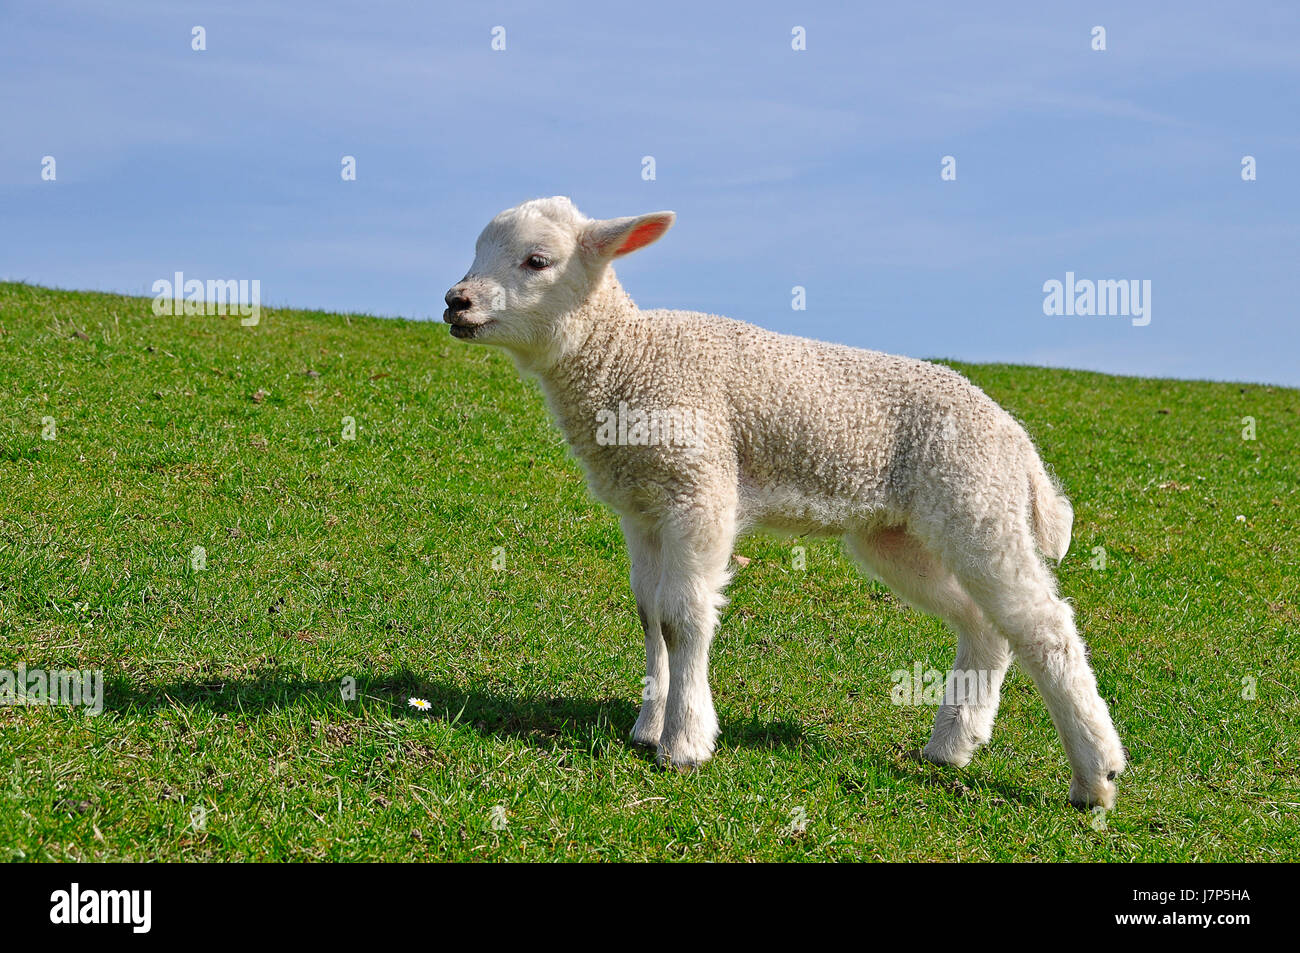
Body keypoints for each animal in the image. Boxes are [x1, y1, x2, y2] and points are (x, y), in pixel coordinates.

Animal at [443, 196, 1127, 809]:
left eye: (537, 260)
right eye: (476, 251)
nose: (456, 301)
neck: (627, 357)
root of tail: (1016, 437)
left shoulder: (699, 488)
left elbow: (684, 616)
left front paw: (684, 743)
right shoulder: (640, 507)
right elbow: (650, 614)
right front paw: (646, 727)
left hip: (976, 500)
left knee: (1045, 626)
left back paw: (1095, 776)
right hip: (899, 532)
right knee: (984, 622)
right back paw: (953, 745)